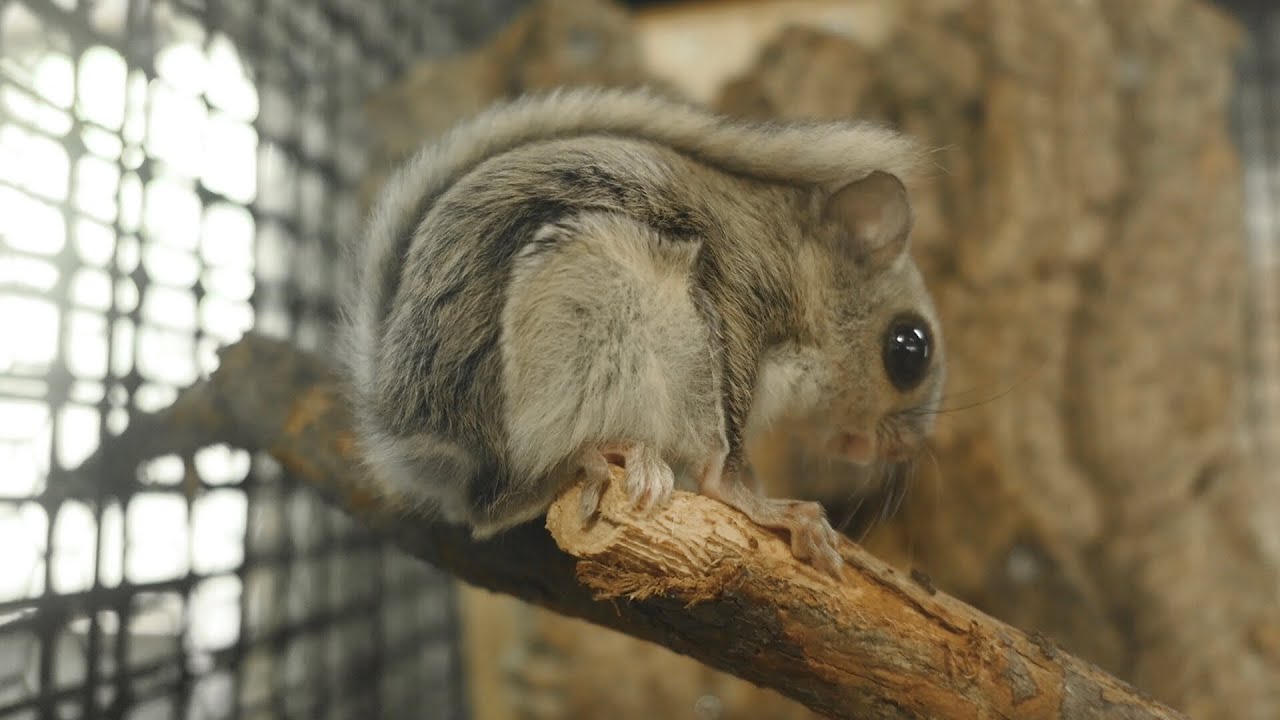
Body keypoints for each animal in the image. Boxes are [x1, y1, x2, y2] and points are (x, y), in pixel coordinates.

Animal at [339, 87, 945, 576]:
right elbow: (727, 460)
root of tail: (418, 432)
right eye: (909, 348)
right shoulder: (742, 301)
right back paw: (601, 456)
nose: (906, 447)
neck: (803, 265)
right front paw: (767, 507)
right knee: (499, 502)